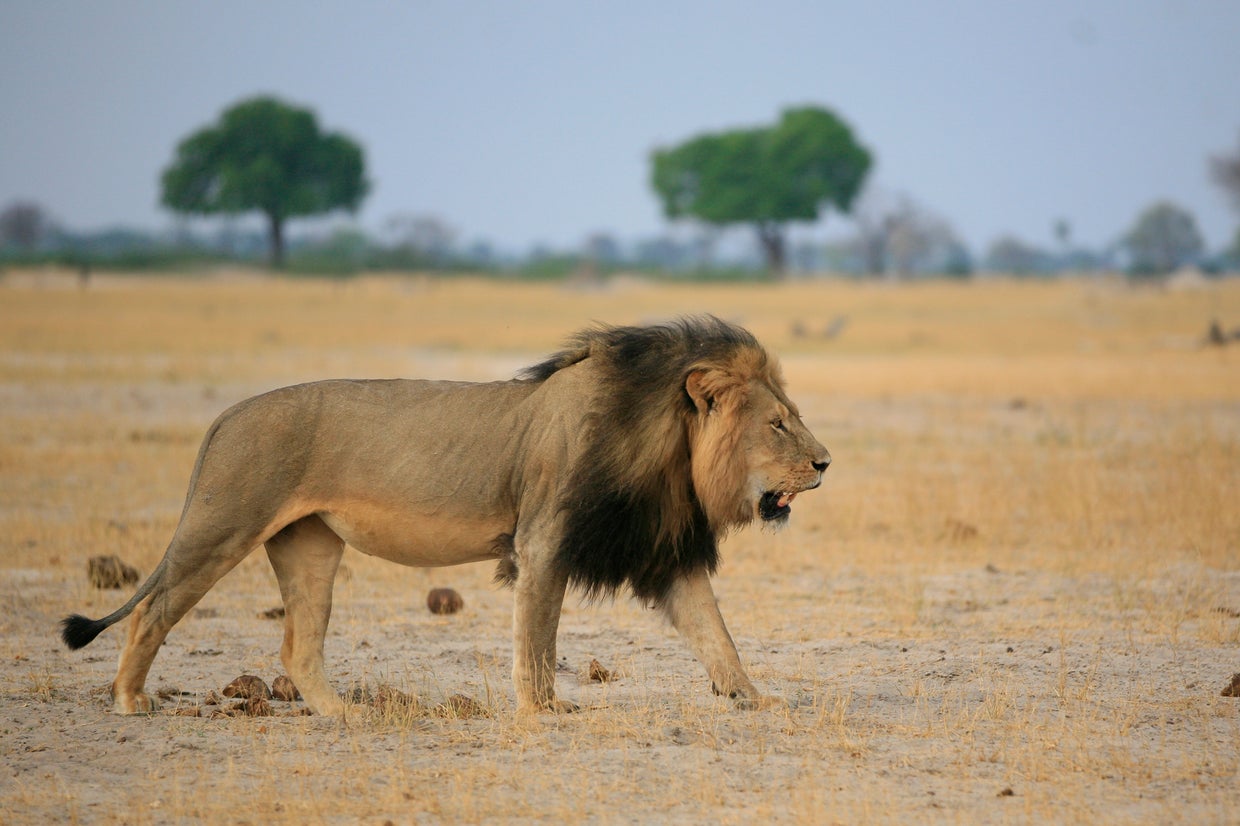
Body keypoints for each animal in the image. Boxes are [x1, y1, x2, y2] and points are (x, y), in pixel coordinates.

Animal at [61, 316, 830, 716]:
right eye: (778, 425)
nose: (825, 463)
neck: (667, 447)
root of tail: (224, 415)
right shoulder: (544, 541)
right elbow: (538, 639)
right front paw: (544, 711)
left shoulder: (664, 553)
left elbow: (716, 633)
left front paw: (755, 698)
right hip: (223, 525)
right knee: (152, 608)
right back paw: (130, 700)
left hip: (309, 546)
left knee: (298, 646)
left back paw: (346, 714)